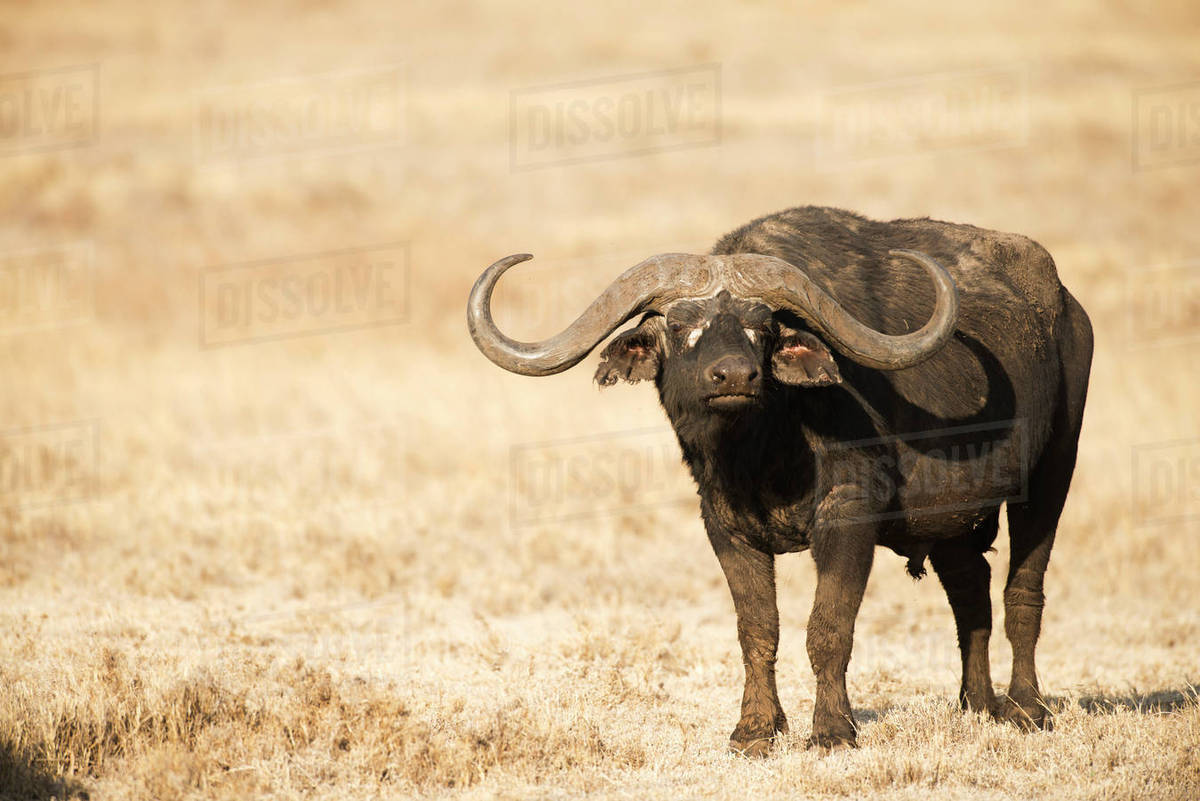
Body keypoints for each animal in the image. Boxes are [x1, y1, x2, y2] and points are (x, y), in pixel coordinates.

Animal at [466, 206, 1093, 756]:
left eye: (762, 327)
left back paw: (1026, 707)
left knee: (1022, 590)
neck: (762, 452)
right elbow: (757, 630)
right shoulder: (725, 526)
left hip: (1052, 474)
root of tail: (1066, 308)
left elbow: (828, 628)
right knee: (971, 592)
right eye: (680, 325)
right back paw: (975, 703)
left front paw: (833, 730)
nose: (734, 376)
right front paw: (754, 730)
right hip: (949, 521)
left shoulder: (847, 516)